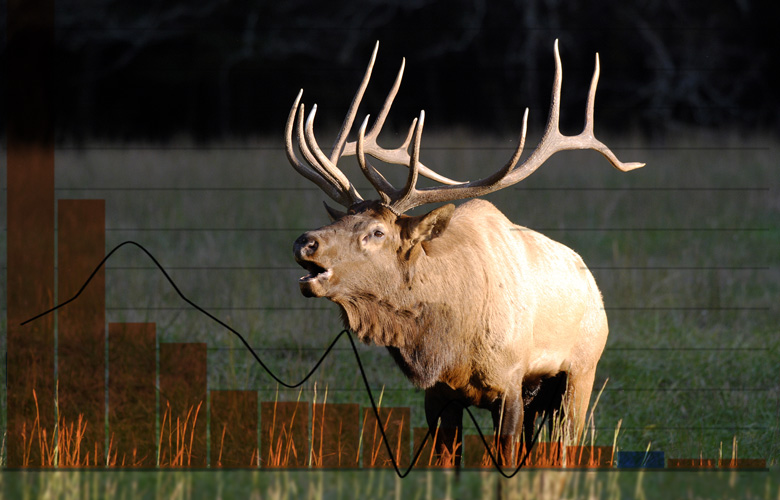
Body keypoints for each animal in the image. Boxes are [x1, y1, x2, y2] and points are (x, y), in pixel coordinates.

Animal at [287, 41, 644, 469]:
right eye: (344, 219)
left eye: (377, 232)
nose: (305, 242)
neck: (449, 343)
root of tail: (592, 284)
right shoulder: (438, 395)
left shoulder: (510, 384)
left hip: (580, 374)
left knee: (566, 447)